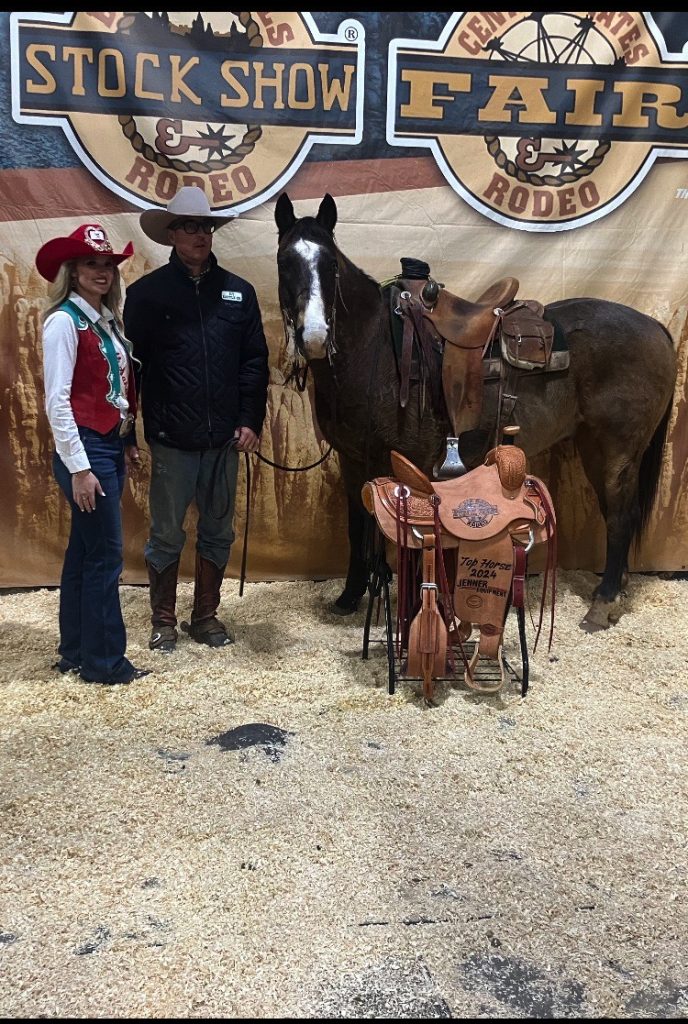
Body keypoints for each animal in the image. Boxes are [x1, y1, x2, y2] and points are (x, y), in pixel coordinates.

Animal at [274, 192, 677, 632]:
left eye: (330, 265)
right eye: (284, 262)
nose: (314, 337)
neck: (376, 349)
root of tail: (655, 326)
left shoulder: (404, 460)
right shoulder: (352, 459)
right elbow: (357, 528)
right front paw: (349, 597)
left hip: (617, 449)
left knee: (621, 516)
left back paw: (602, 603)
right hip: (595, 446)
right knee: (616, 512)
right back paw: (616, 590)